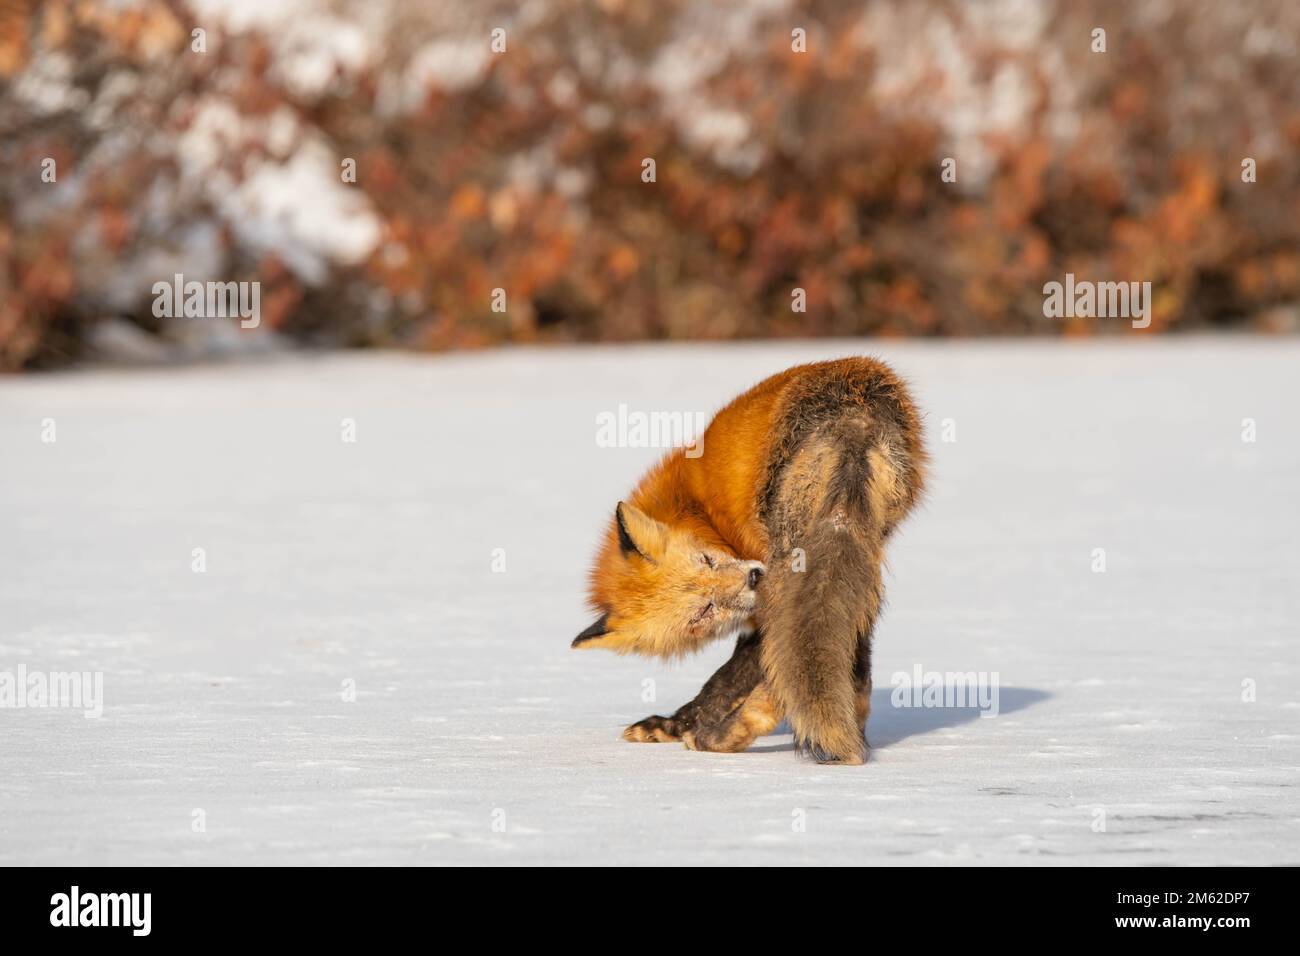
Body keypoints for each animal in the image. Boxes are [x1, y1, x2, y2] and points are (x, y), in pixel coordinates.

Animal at [572, 357, 926, 764]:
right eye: (703, 611)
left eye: (707, 560)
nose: (755, 580)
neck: (698, 509)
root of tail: (853, 417)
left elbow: (722, 683)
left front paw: (675, 726)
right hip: (861, 556)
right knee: (849, 657)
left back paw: (722, 737)